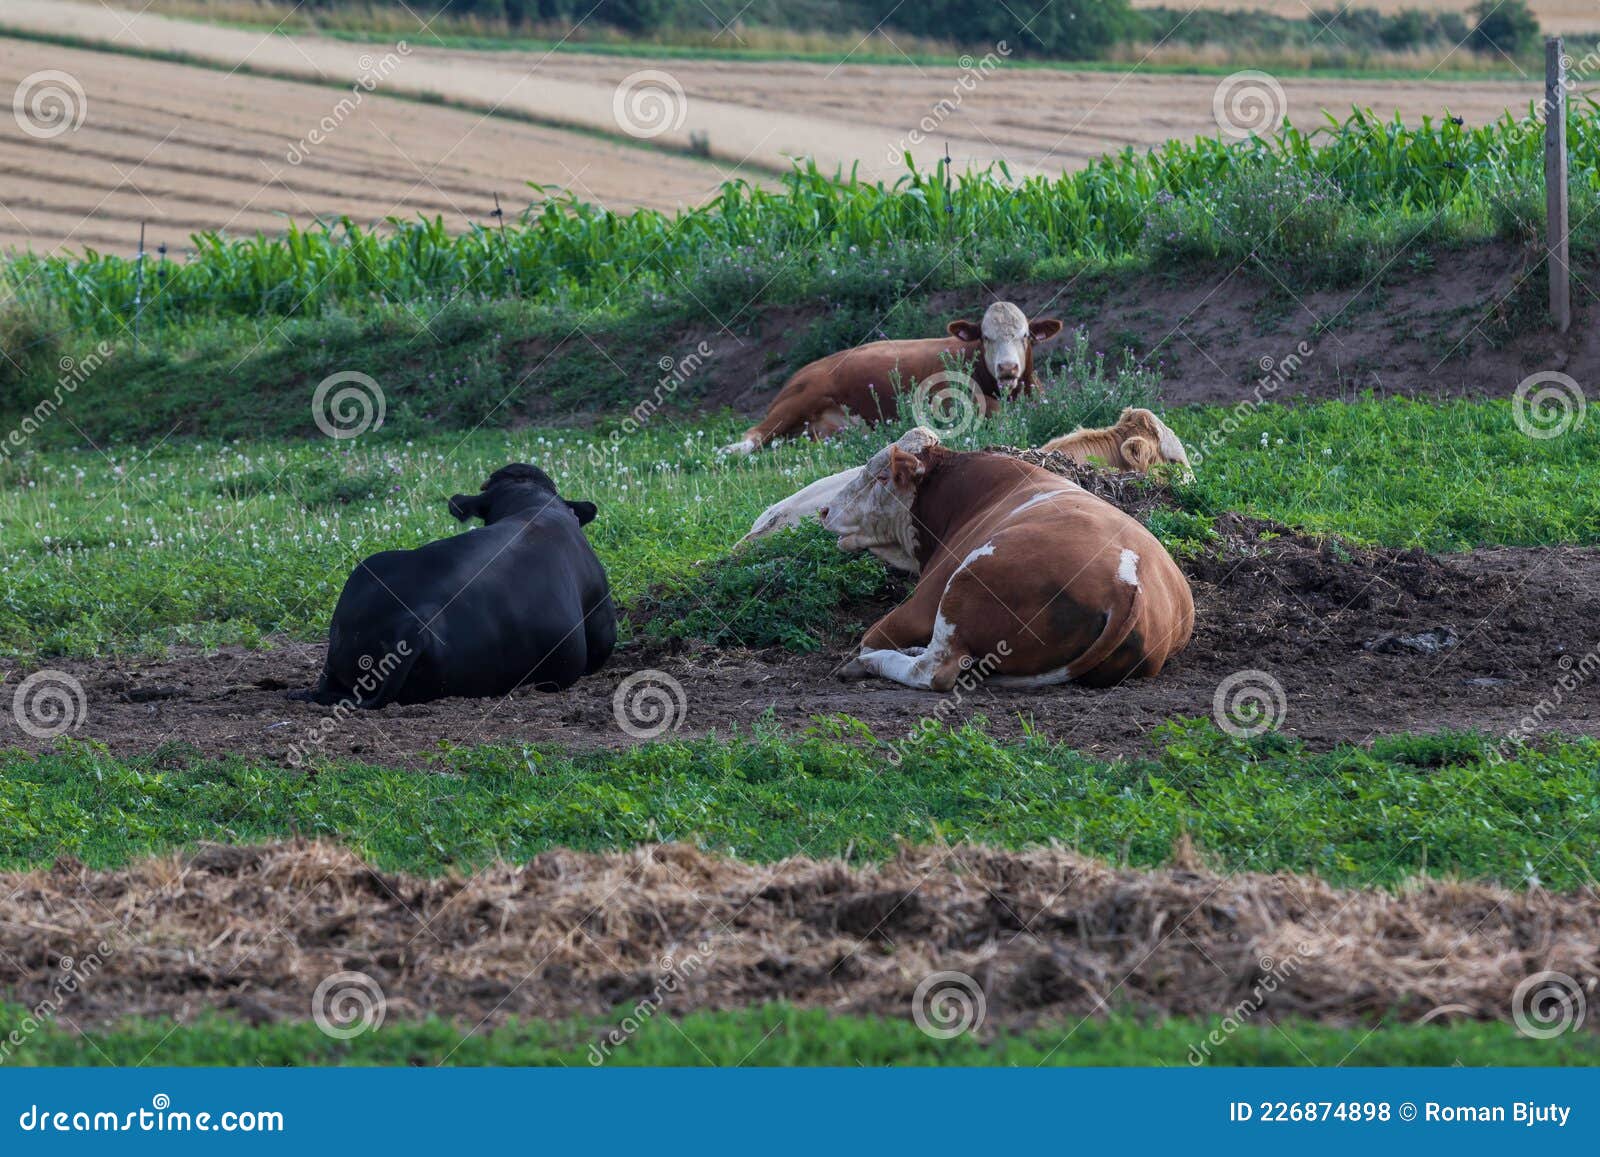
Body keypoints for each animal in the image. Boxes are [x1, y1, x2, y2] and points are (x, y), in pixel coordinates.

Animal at [720, 301, 1062, 454]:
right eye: (986, 337)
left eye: (1025, 335)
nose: (1007, 368)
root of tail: (803, 371)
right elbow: (995, 410)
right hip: (800, 398)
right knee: (754, 435)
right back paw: (730, 451)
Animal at [816, 429, 1193, 690]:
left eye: (880, 477)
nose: (824, 510)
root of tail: (1127, 580)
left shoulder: (920, 604)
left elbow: (871, 636)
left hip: (965, 582)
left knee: (934, 669)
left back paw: (874, 662)